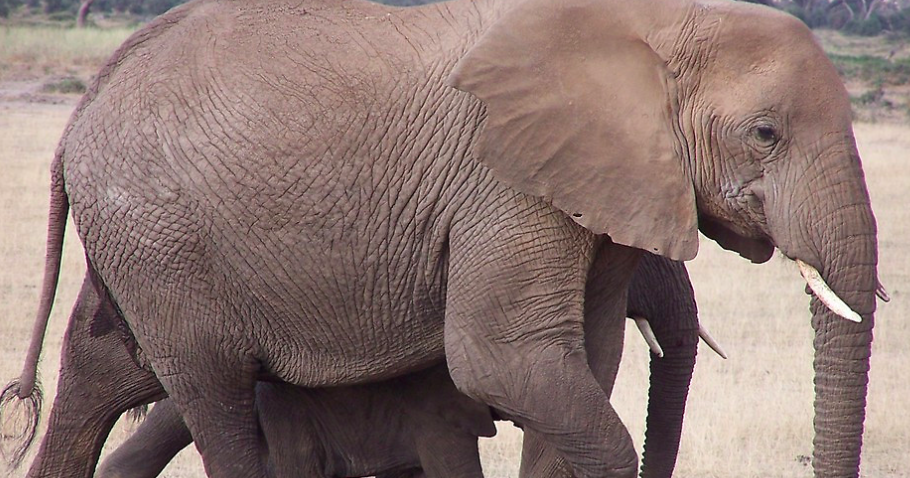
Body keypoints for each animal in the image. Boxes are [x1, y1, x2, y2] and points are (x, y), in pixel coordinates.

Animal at [0, 0, 883, 476]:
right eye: (765, 134)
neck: (649, 23)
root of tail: (89, 98)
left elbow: (584, 365)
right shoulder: (505, 185)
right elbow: (505, 362)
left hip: (138, 245)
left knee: (98, 376)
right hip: (161, 240)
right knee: (214, 396)